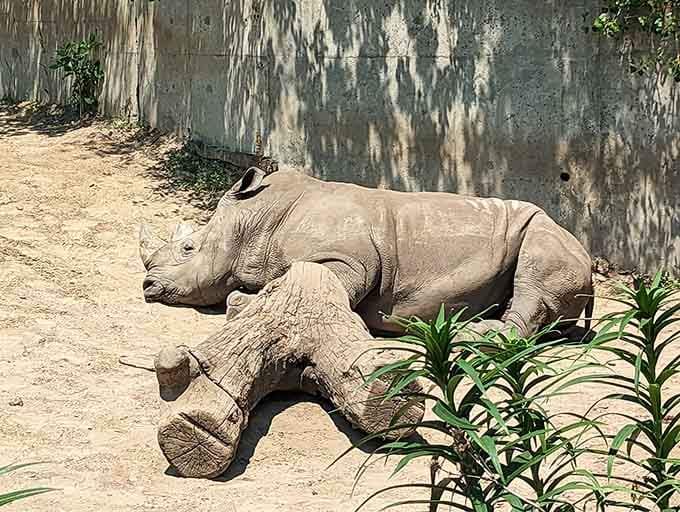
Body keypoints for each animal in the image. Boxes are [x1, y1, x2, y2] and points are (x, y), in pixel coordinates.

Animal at [139, 167, 593, 337]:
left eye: (188, 248)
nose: (147, 286)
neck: (256, 219)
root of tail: (589, 258)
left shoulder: (349, 260)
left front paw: (243, 303)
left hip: (548, 235)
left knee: (534, 279)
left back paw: (475, 335)